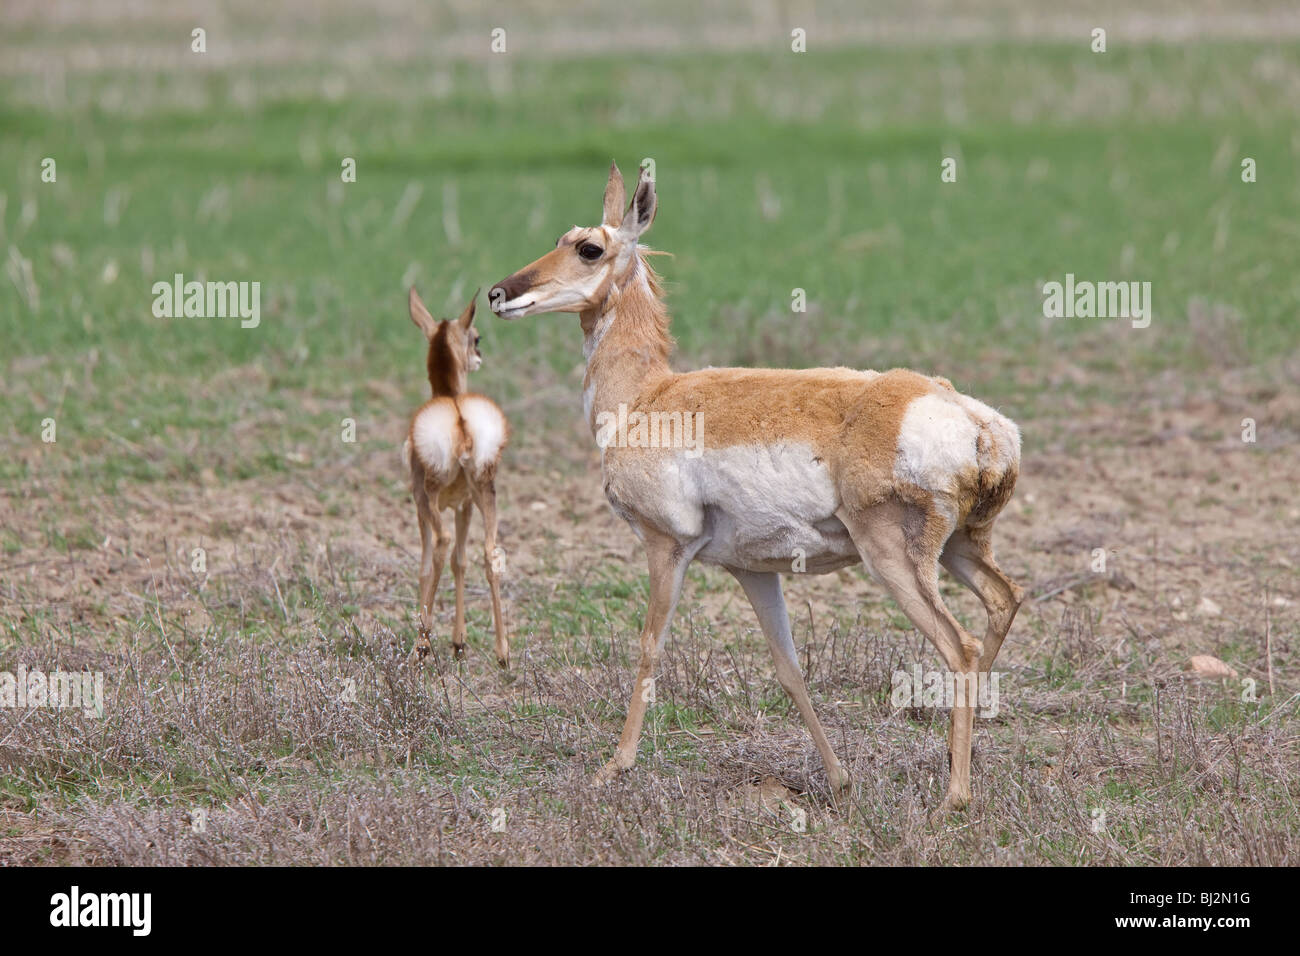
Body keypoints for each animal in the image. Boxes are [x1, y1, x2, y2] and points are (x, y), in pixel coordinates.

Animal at [401, 287, 511, 668]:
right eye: (476, 337)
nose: (479, 356)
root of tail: (461, 419)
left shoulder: (422, 505)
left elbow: (426, 565)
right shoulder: (464, 506)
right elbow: (460, 563)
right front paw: (459, 642)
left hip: (430, 501)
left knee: (441, 543)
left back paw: (420, 647)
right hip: (485, 493)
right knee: (490, 553)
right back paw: (503, 653)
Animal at [488, 163, 1024, 811]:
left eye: (590, 247)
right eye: (561, 238)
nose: (498, 294)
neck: (647, 398)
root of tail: (977, 422)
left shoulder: (666, 546)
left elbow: (649, 646)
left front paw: (613, 768)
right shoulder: (753, 571)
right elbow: (788, 669)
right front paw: (840, 780)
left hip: (895, 559)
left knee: (959, 645)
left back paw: (953, 797)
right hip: (960, 549)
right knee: (1004, 600)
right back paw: (955, 754)